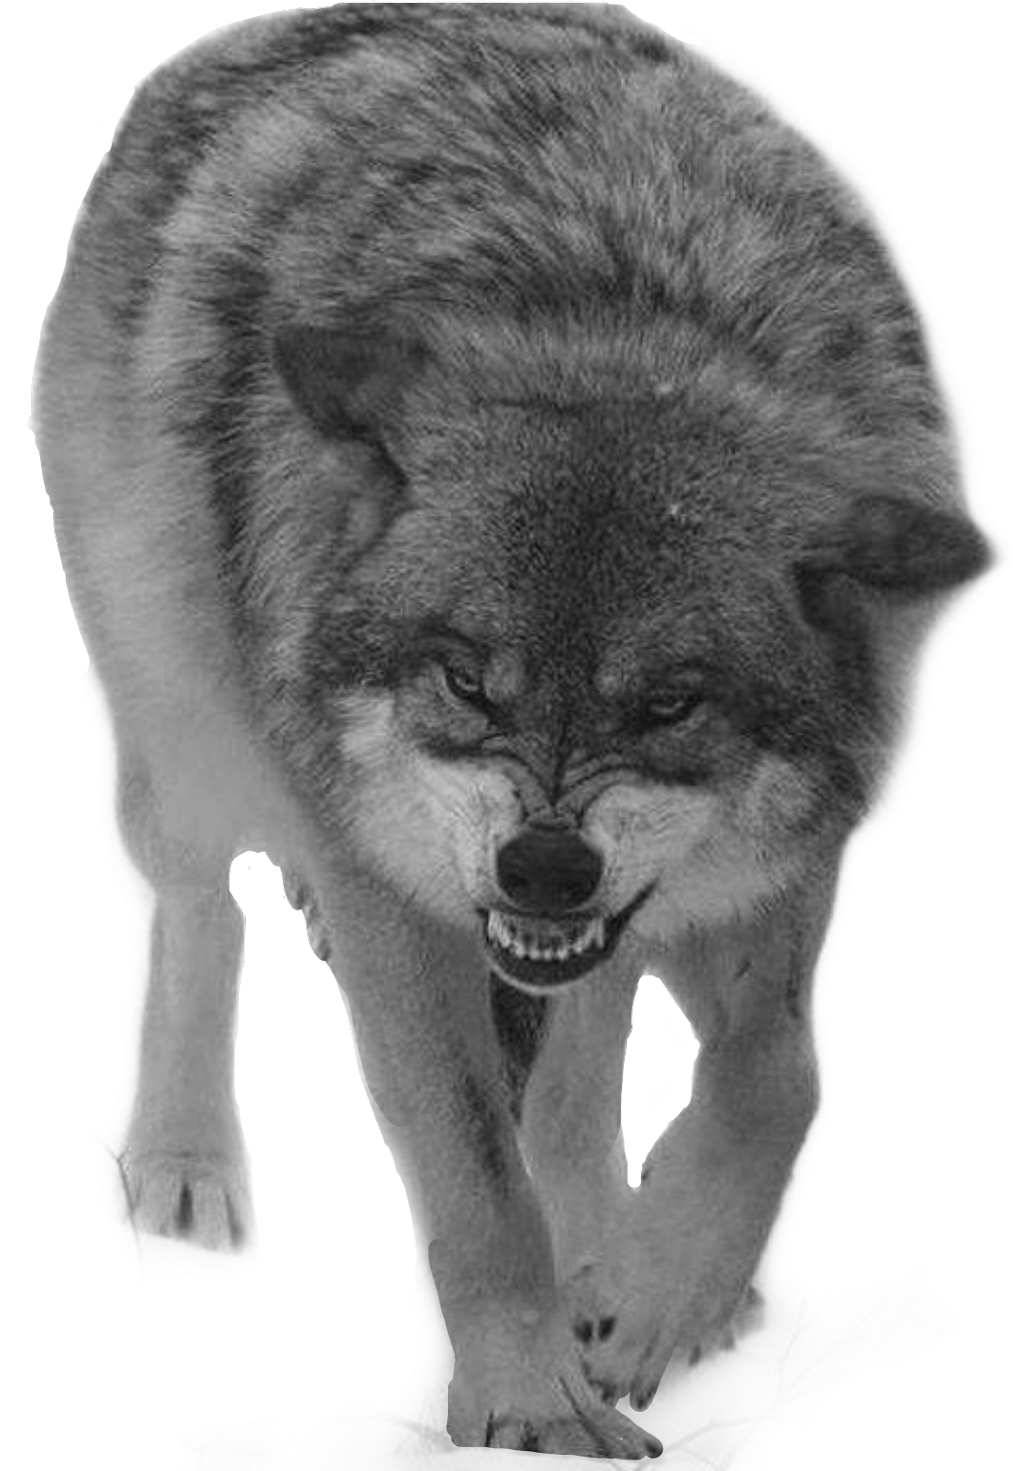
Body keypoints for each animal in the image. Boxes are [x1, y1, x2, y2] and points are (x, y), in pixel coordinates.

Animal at [33, 0, 1009, 1455]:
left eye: (670, 702)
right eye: (465, 679)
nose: (541, 867)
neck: (626, 325)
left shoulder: (779, 868)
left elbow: (783, 1073)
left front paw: (657, 1302)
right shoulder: (397, 899)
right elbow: (476, 1177)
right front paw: (531, 1410)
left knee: (586, 1046)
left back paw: (606, 1255)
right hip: (183, 715)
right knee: (198, 908)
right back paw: (185, 1166)